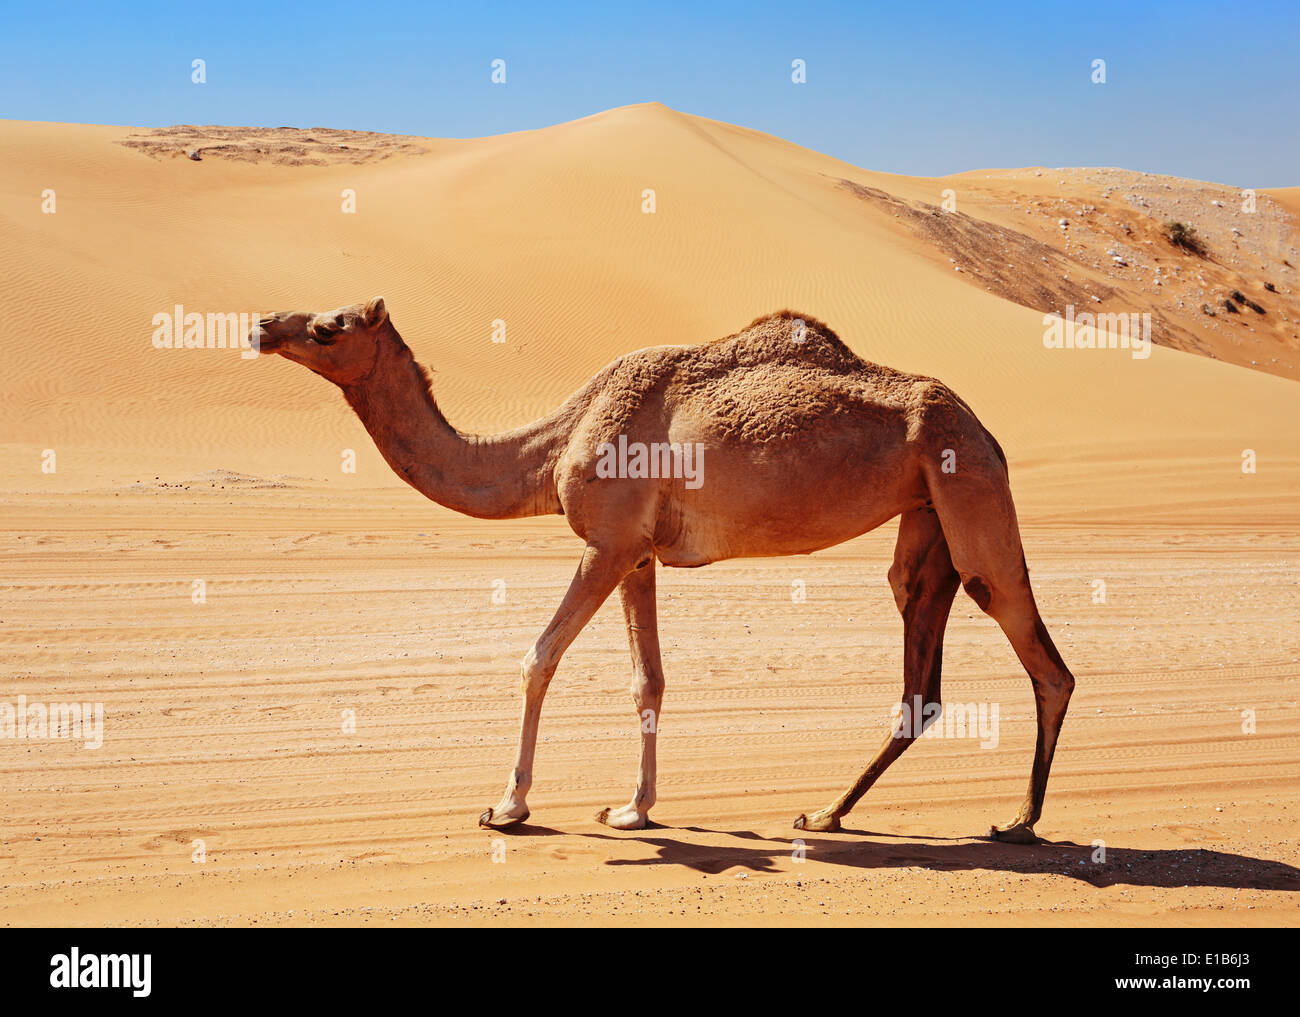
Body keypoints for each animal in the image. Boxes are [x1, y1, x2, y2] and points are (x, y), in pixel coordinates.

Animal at [251, 298, 1075, 843]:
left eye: (329, 325)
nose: (263, 325)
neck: (555, 442)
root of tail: (988, 431)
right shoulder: (639, 553)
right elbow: (648, 678)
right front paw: (633, 807)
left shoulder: (608, 541)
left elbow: (538, 657)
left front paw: (508, 805)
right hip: (927, 515)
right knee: (920, 676)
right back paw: (828, 813)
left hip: (970, 488)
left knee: (1040, 654)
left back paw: (1018, 822)